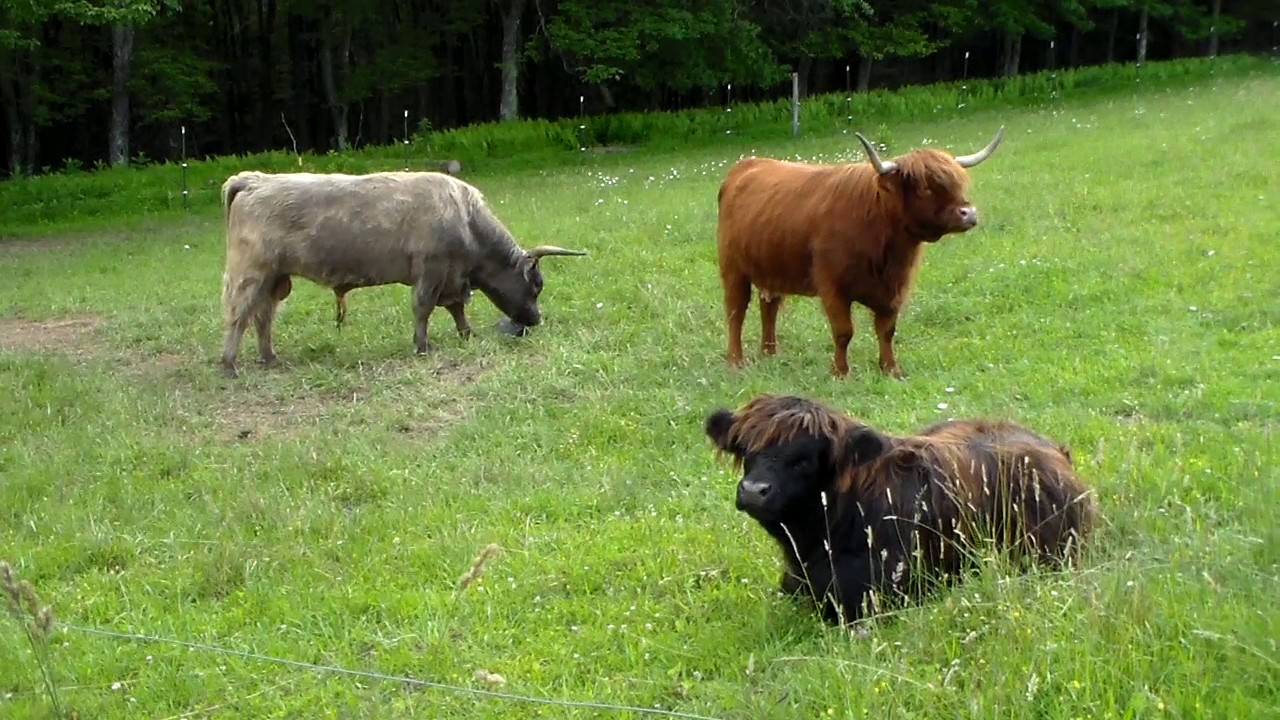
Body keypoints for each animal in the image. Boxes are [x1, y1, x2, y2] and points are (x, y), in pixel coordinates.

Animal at [218, 170, 586, 378]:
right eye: (536, 285)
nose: (536, 319)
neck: (466, 221)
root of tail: (255, 180)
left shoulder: (452, 278)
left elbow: (456, 308)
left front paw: (467, 335)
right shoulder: (431, 271)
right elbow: (423, 308)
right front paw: (422, 346)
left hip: (275, 279)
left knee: (263, 316)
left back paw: (269, 358)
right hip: (251, 272)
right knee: (240, 314)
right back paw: (229, 365)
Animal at [714, 127, 1005, 378]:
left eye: (958, 183)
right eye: (925, 187)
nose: (969, 213)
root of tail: (746, 165)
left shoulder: (895, 288)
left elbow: (887, 330)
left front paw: (891, 369)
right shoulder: (832, 286)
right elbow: (844, 331)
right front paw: (841, 372)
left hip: (770, 267)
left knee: (769, 307)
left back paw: (770, 354)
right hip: (733, 268)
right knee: (736, 312)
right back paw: (736, 361)